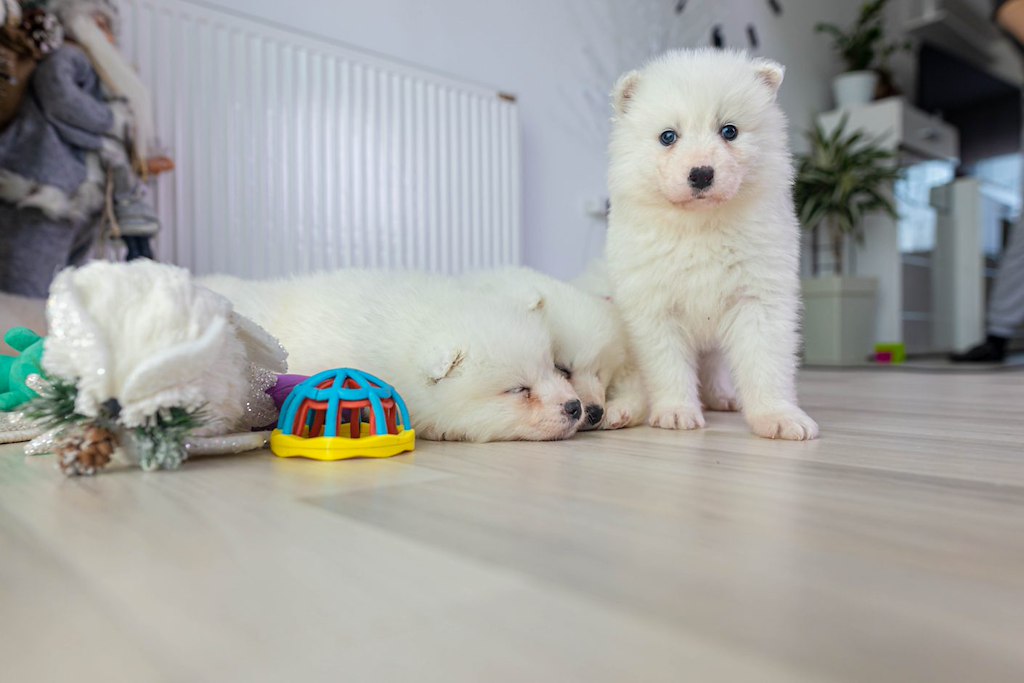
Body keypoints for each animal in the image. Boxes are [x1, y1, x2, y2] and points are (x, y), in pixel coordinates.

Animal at [606, 50, 815, 440]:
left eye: (729, 131)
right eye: (668, 137)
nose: (701, 173)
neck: (701, 226)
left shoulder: (759, 299)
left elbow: (766, 363)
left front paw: (778, 416)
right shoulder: (655, 309)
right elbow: (667, 366)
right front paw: (676, 411)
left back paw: (724, 397)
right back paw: (619, 411)